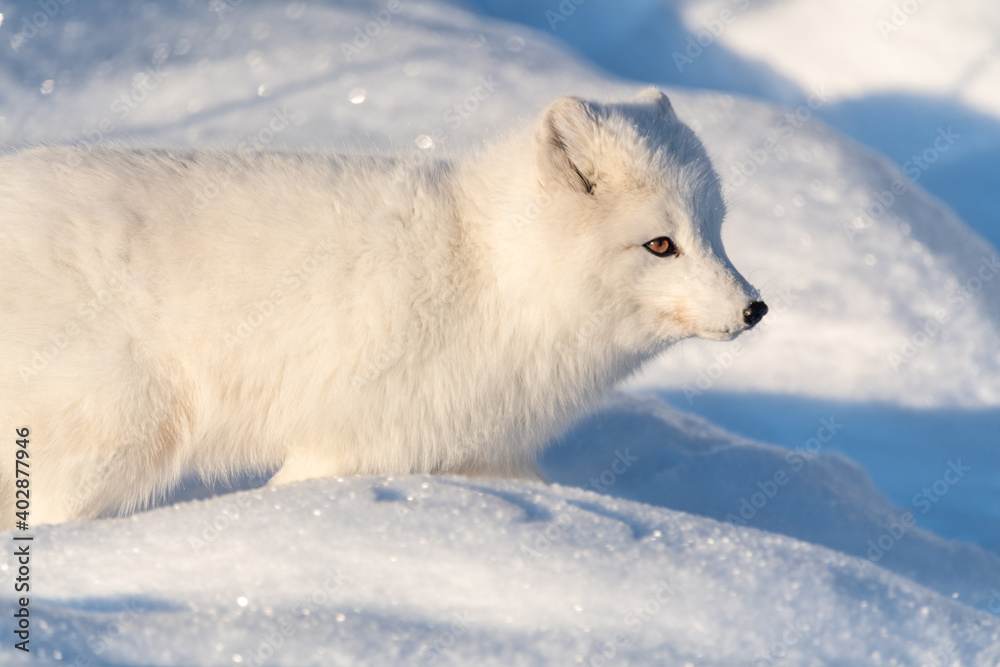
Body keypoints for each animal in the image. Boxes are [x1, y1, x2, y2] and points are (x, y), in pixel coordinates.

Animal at [0, 88, 766, 527]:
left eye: (715, 230)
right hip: (111, 442)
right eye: (661, 244)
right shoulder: (350, 443)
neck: (487, 273)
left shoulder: (476, 450)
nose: (755, 309)